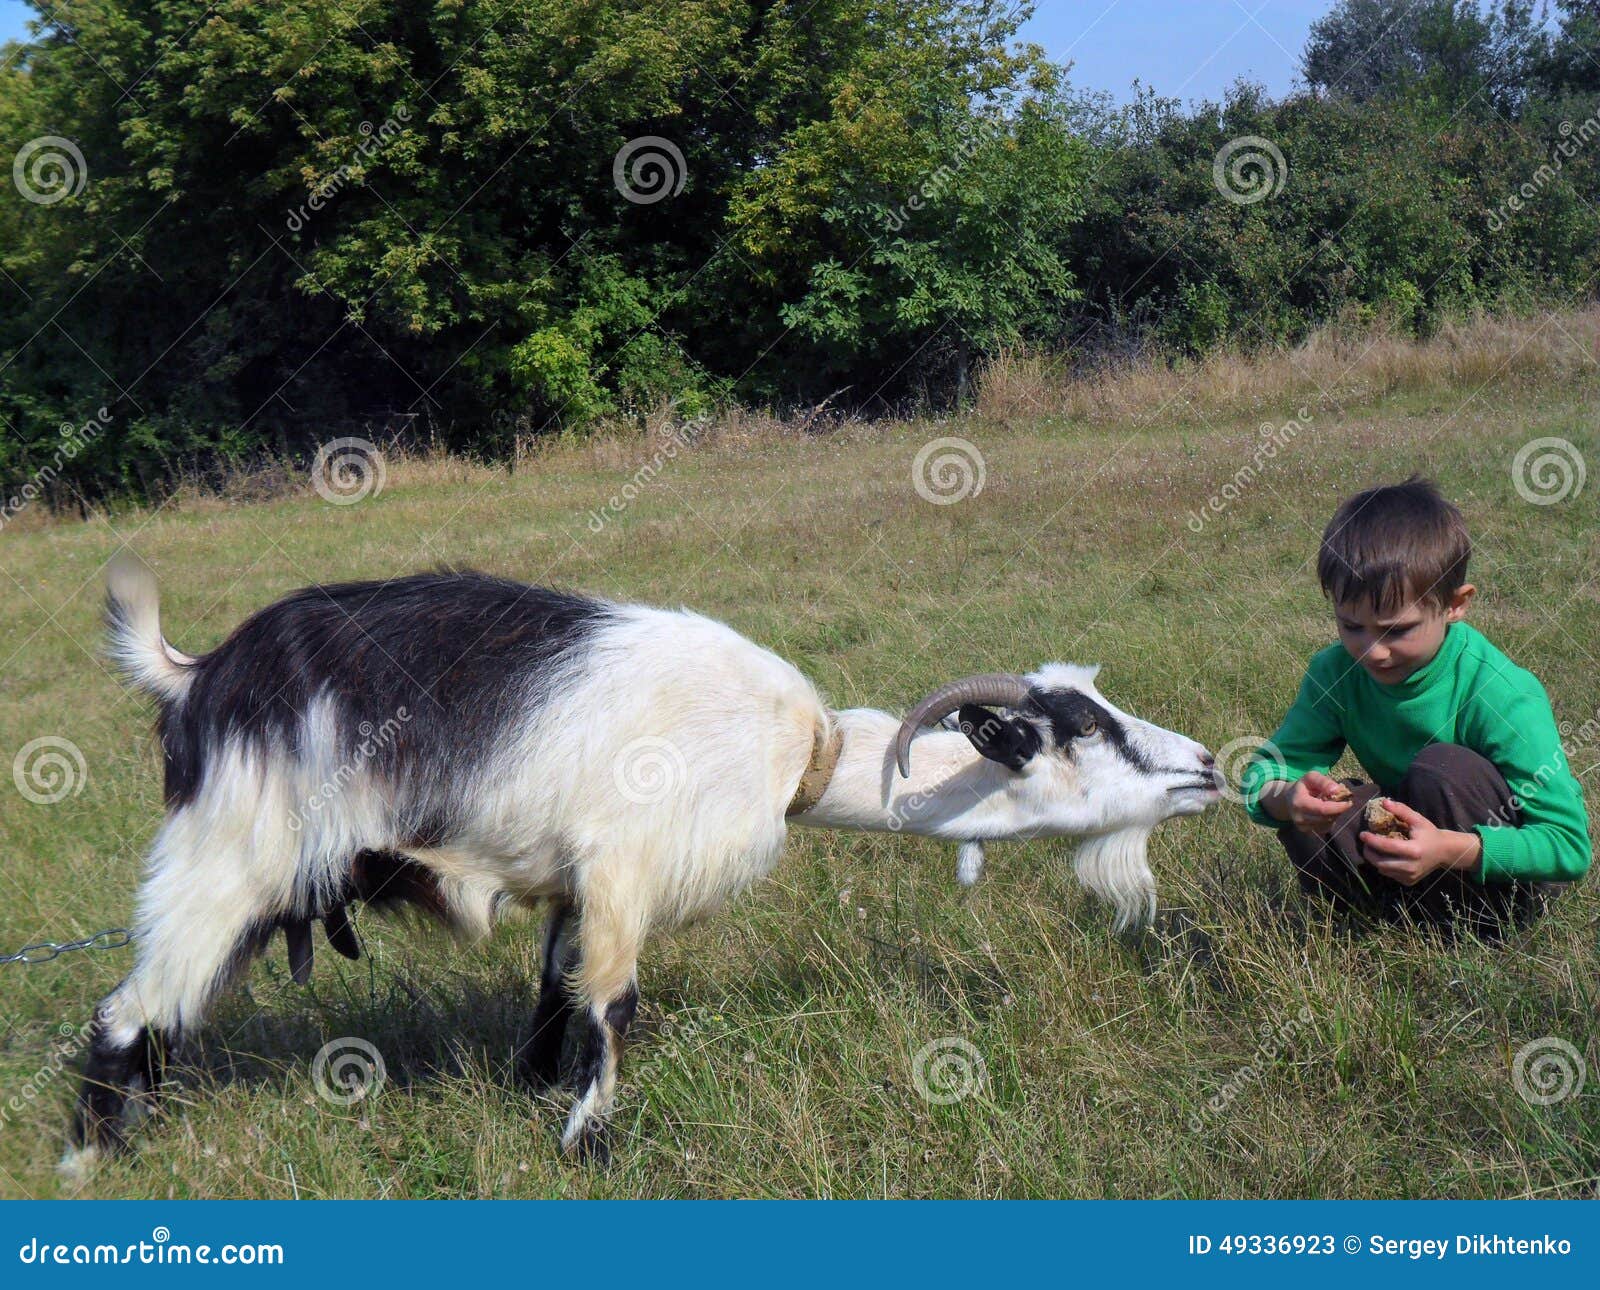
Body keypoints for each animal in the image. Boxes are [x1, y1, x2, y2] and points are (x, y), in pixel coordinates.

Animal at [63, 559, 1220, 1175]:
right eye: (1078, 732)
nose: (1208, 768)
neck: (798, 750)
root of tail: (199, 675)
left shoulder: (572, 887)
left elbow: (555, 995)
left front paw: (535, 1093)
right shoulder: (624, 863)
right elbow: (612, 1006)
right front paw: (588, 1146)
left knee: (164, 1021)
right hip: (228, 858)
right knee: (126, 1015)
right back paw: (85, 1165)